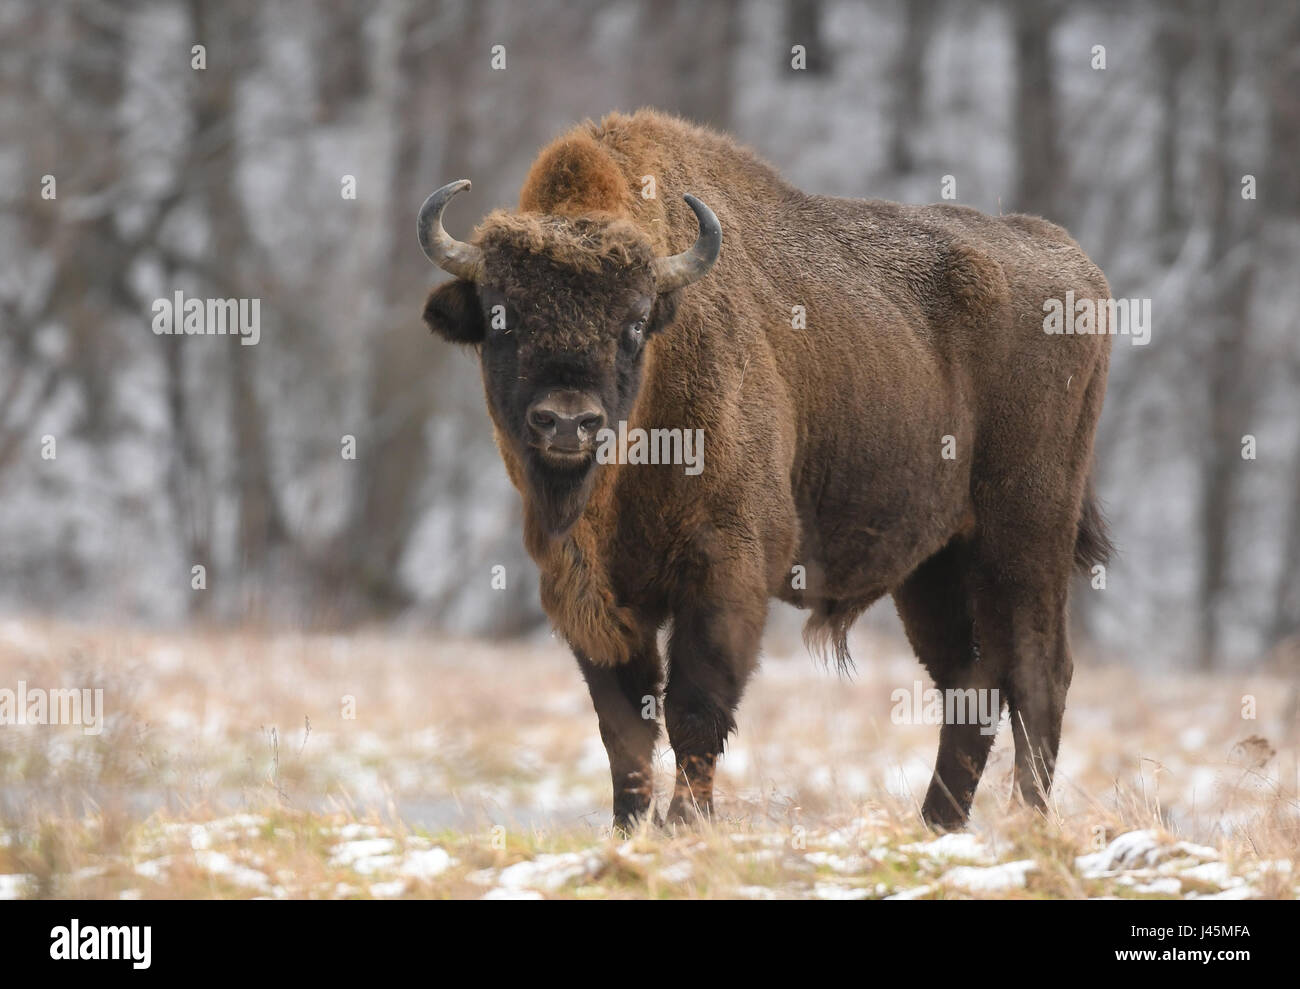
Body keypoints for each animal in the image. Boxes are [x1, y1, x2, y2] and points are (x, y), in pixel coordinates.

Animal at [419, 109, 1112, 831]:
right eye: (501, 317)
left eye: (634, 323)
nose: (566, 420)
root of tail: (1075, 266)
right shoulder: (593, 592)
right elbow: (625, 726)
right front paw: (629, 827)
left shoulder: (726, 569)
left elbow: (695, 707)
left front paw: (685, 824)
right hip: (934, 566)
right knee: (969, 685)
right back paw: (938, 824)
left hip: (1026, 538)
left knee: (1038, 674)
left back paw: (1025, 820)